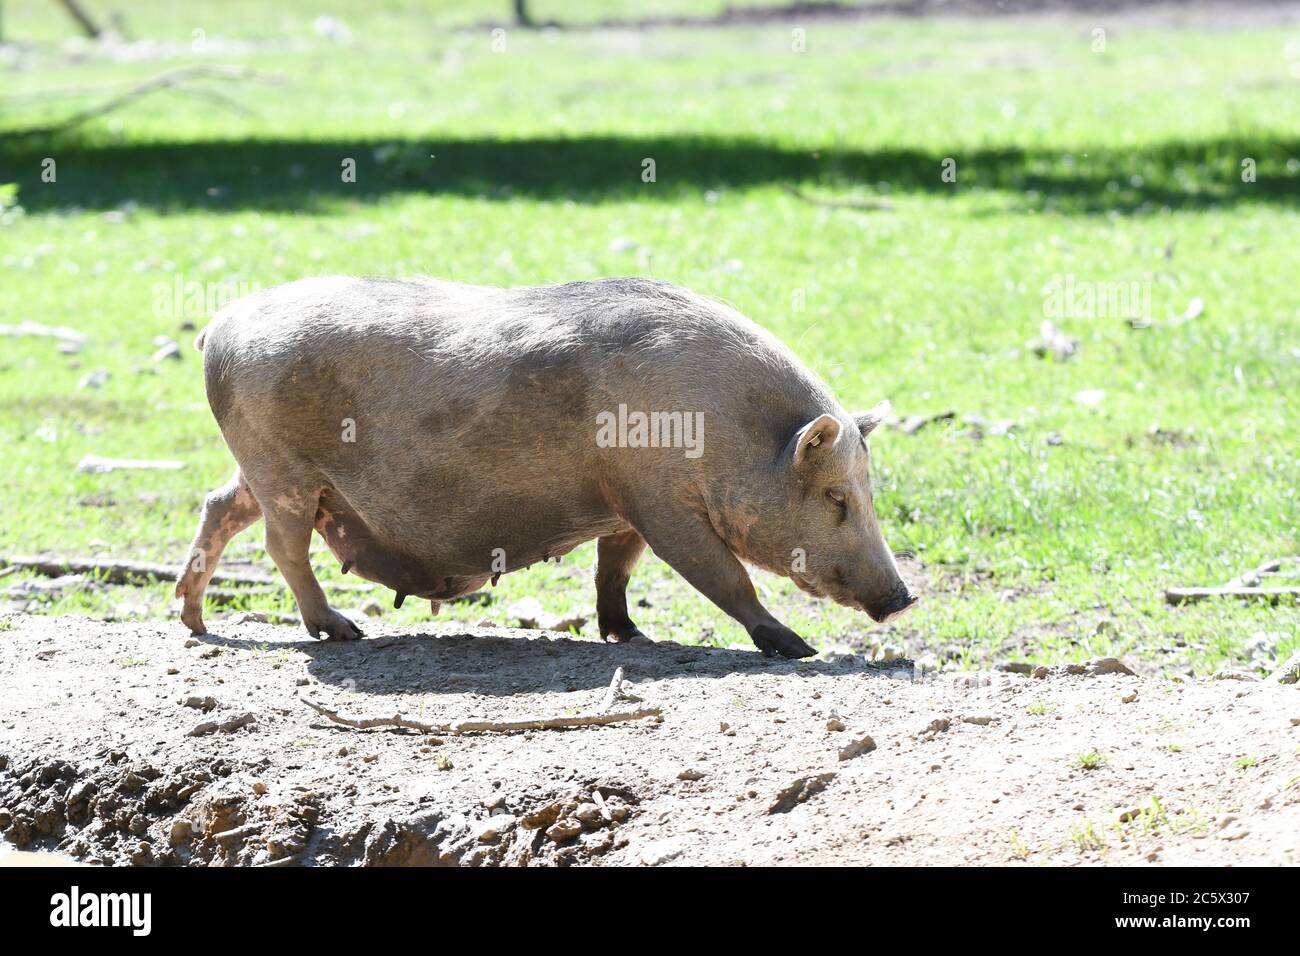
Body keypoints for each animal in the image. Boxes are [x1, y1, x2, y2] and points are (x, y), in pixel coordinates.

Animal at [175, 277, 917, 658]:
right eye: (837, 497)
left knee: (218, 506)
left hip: (260, 470)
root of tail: (220, 325)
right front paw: (798, 648)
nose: (905, 597)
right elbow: (723, 577)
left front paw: (629, 635)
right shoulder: (663, 502)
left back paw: (194, 622)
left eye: (868, 489)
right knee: (282, 545)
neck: (731, 431)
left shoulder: (625, 505)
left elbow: (614, 571)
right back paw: (341, 631)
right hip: (282, 468)